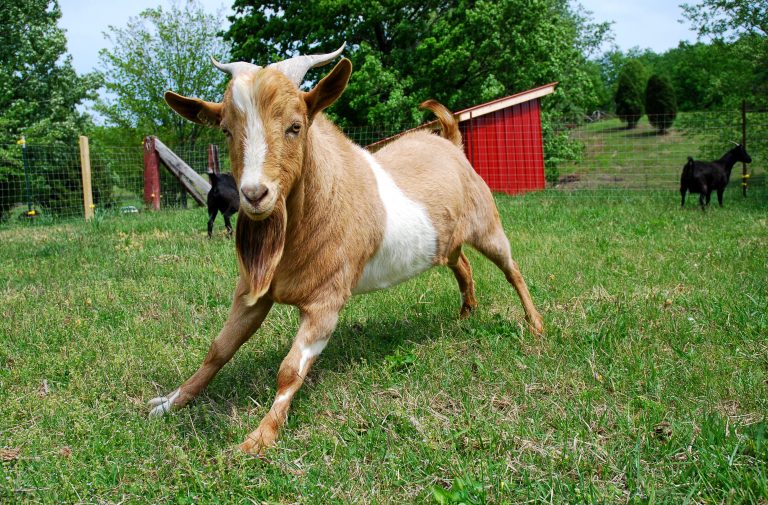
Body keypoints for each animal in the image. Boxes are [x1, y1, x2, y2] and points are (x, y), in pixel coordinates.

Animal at [151, 44, 544, 454]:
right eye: (226, 130)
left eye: (296, 126)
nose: (255, 194)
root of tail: (451, 143)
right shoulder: (251, 293)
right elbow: (218, 349)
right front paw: (170, 402)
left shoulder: (326, 301)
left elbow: (289, 370)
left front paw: (259, 439)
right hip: (445, 240)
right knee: (462, 264)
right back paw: (466, 314)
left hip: (487, 224)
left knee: (511, 269)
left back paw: (535, 325)